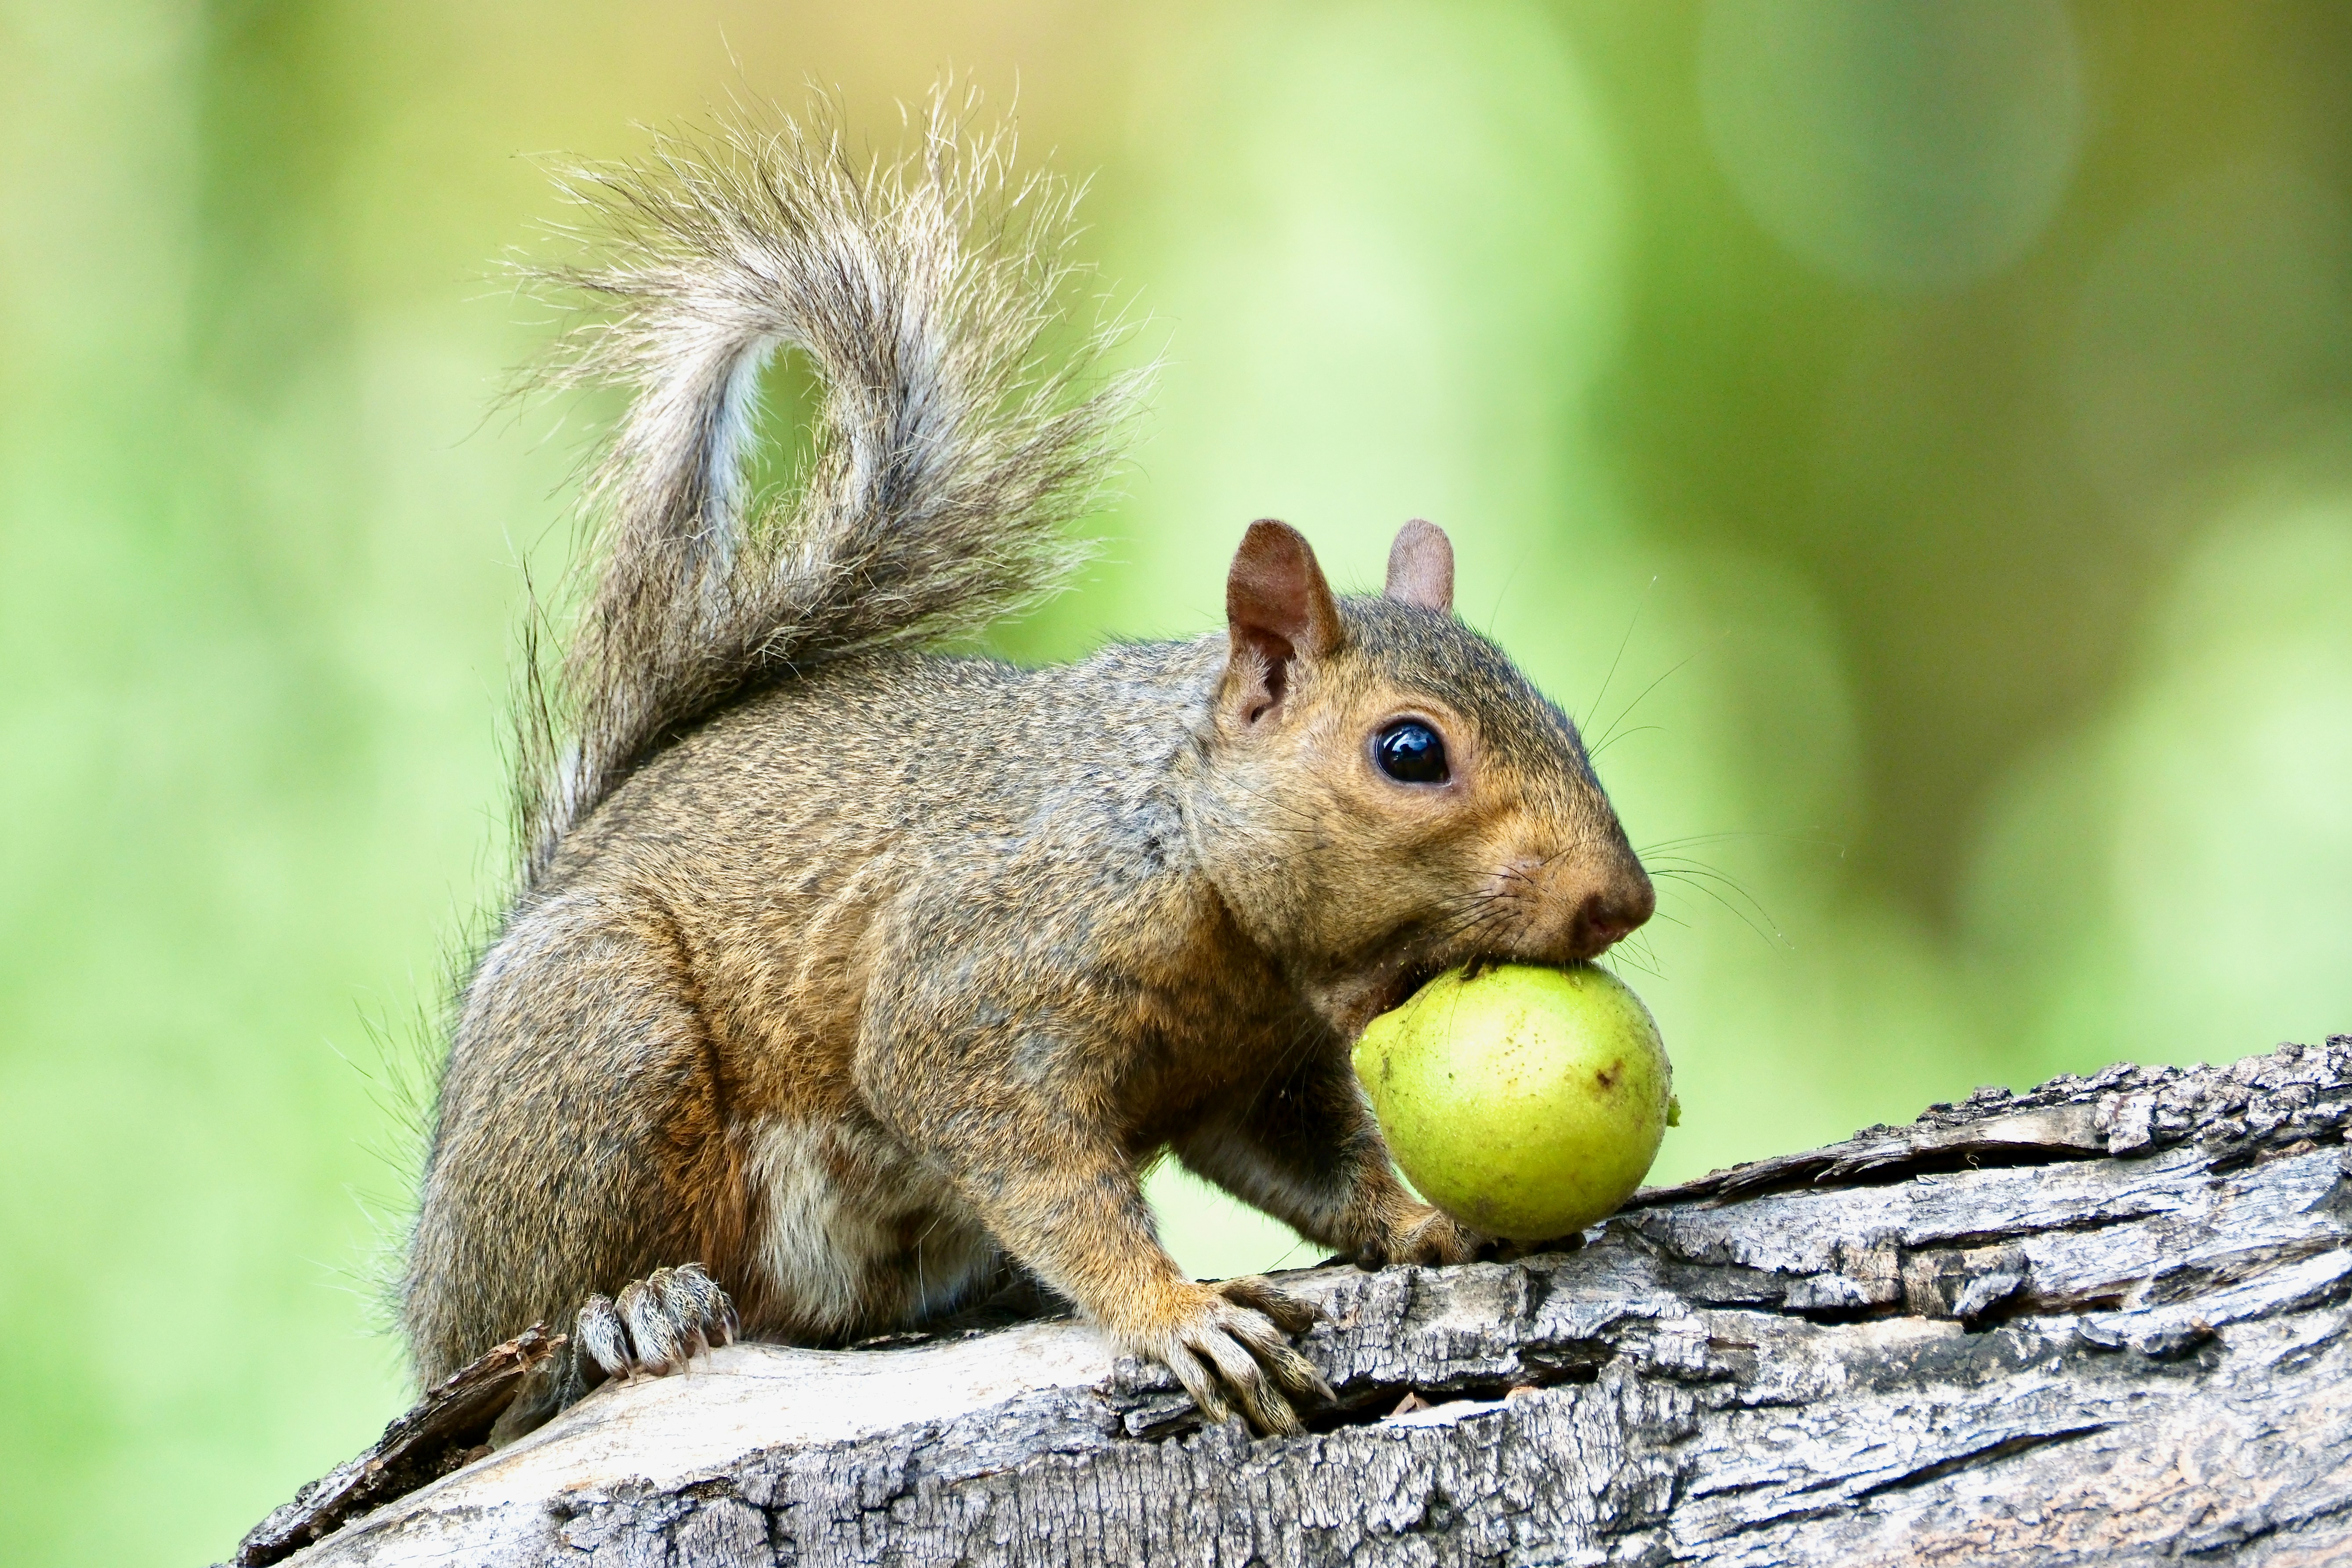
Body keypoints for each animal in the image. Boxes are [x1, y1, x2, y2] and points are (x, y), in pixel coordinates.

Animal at [402, 93, 1655, 1442]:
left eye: (1564, 718)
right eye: (1410, 750)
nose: (1621, 901)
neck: (1189, 861)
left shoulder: (1254, 1074)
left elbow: (1318, 1169)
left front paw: (1424, 1225)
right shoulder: (977, 982)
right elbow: (1033, 1165)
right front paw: (1178, 1312)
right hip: (598, 1051)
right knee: (524, 1331)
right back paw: (622, 1312)